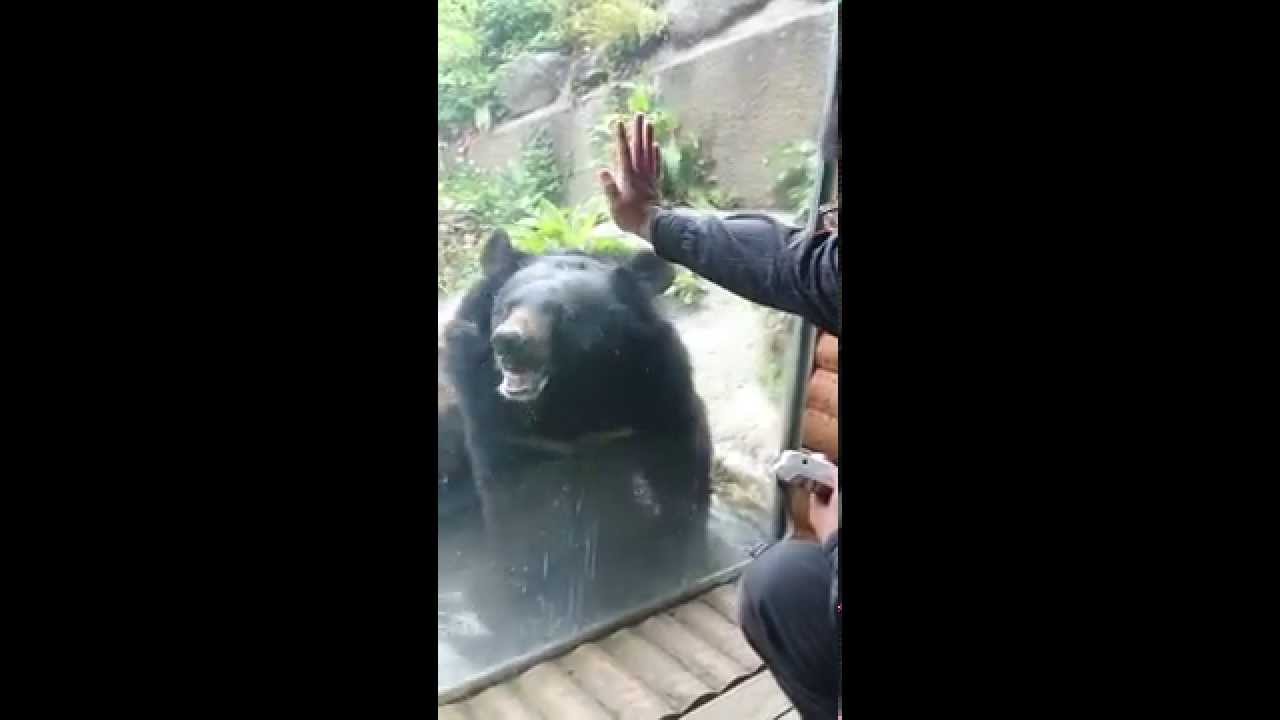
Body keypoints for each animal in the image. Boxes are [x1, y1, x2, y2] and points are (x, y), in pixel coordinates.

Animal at [439, 229, 713, 625]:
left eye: (564, 315)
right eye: (506, 307)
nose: (508, 341)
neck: (569, 391)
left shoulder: (655, 390)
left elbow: (678, 464)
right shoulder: (497, 420)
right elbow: (514, 502)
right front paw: (533, 594)